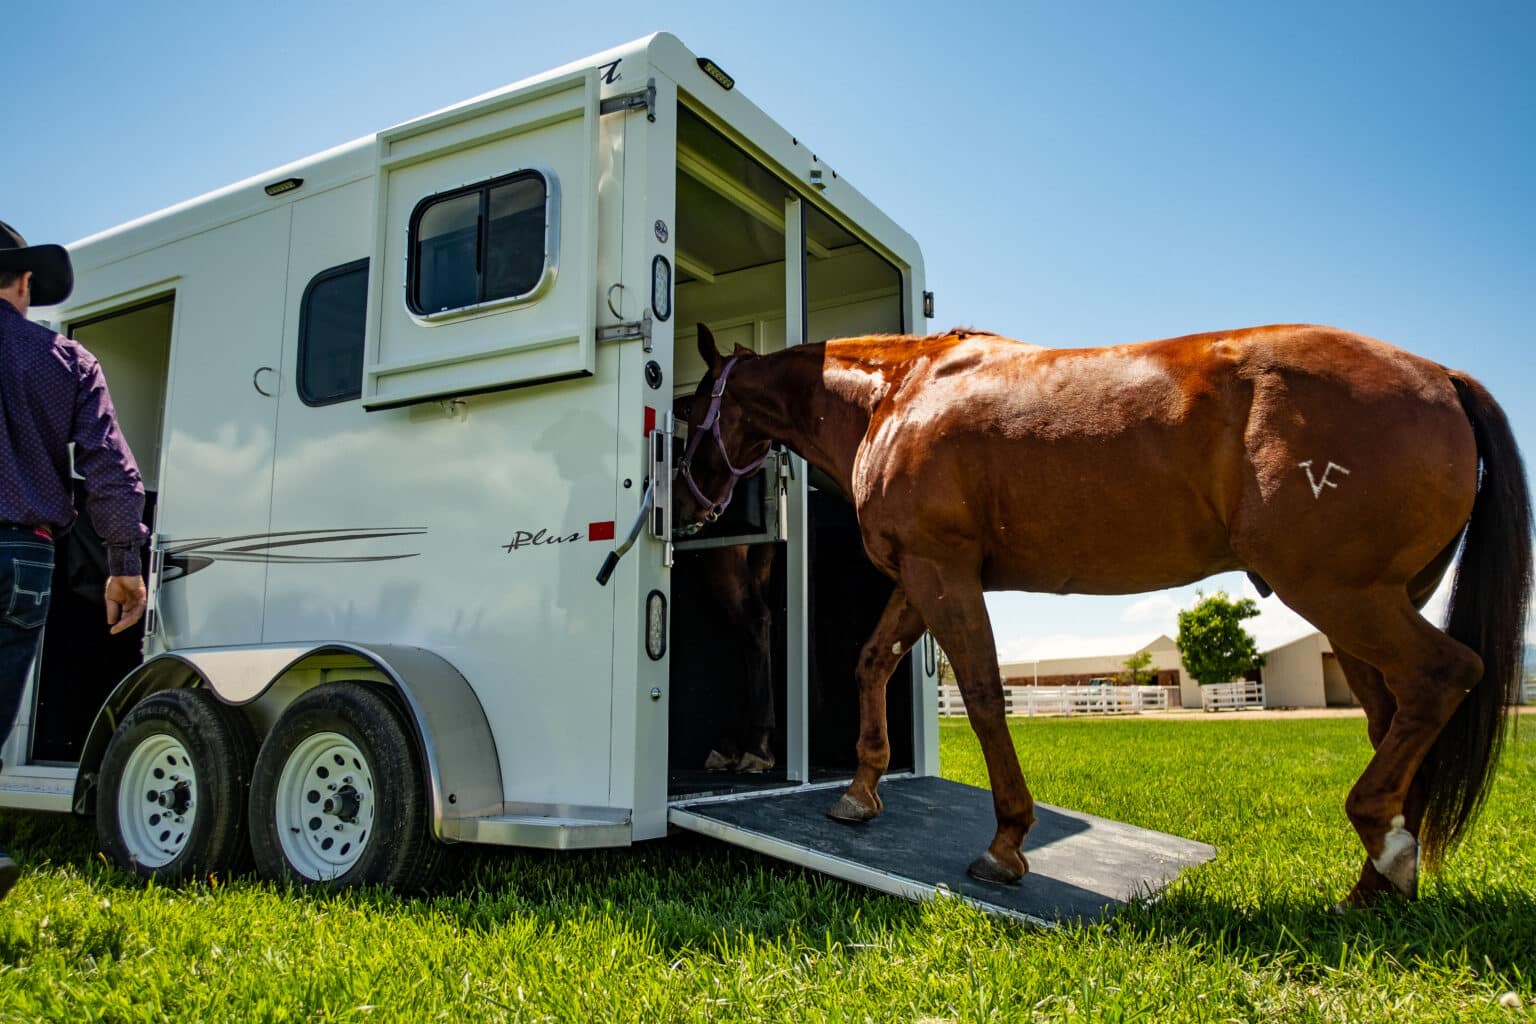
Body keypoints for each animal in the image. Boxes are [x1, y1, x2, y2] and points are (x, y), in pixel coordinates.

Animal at [675, 322, 1531, 908]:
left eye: (685, 414)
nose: (686, 515)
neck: (902, 397)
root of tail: (1443, 376)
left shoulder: (942, 572)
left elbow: (983, 697)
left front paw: (1005, 844)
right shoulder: (918, 577)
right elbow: (872, 662)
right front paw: (860, 793)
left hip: (1341, 595)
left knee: (1443, 676)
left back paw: (1382, 845)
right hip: (1366, 606)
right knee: (1393, 717)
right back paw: (1374, 880)